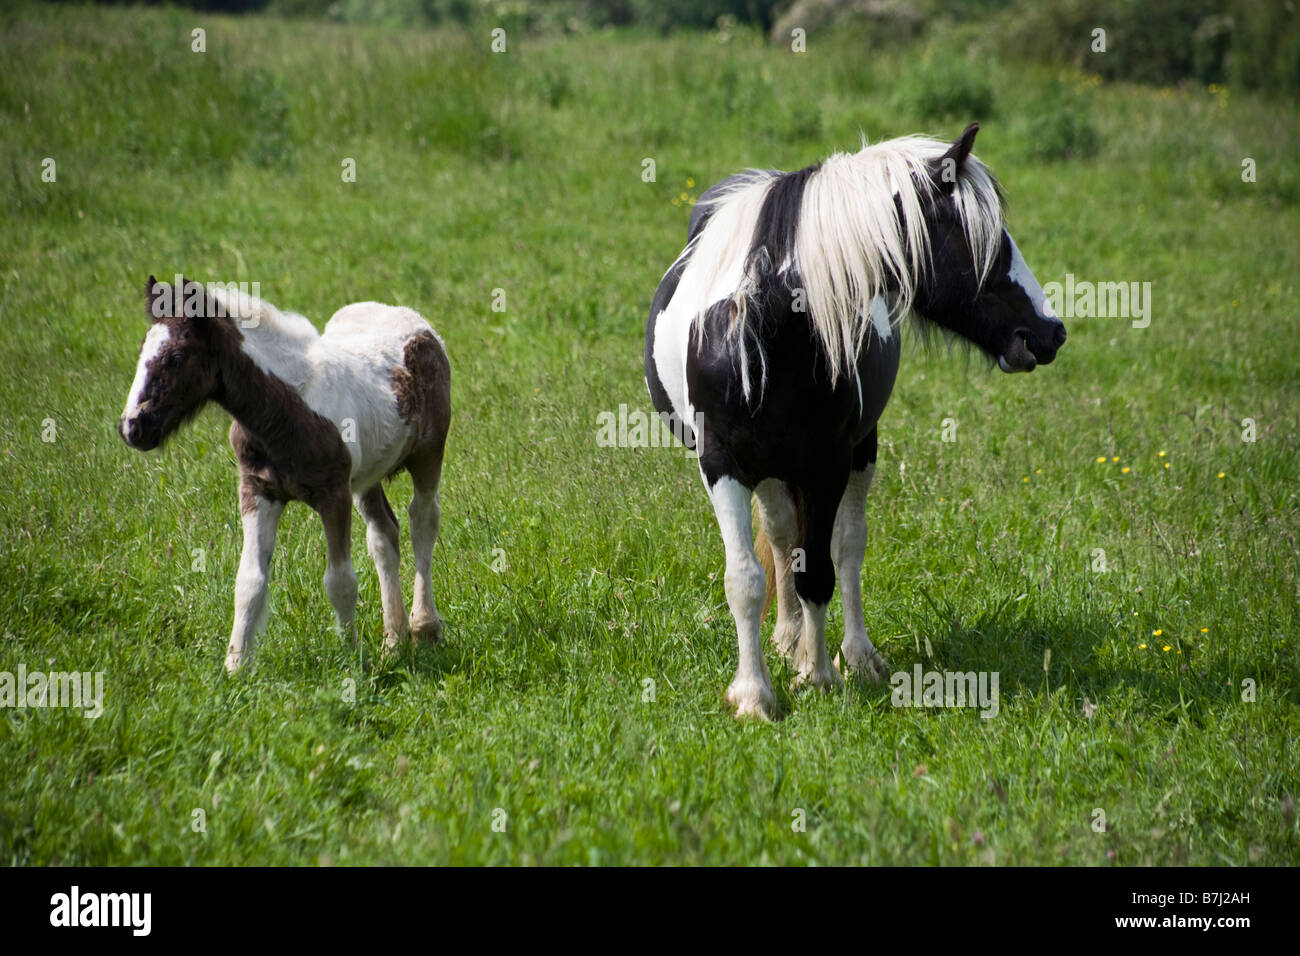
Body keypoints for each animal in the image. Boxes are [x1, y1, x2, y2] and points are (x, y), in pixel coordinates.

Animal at [118, 276, 451, 673]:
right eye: (141, 351)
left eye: (176, 358)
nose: (132, 427)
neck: (284, 408)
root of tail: (415, 321)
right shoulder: (258, 491)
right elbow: (249, 580)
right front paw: (235, 667)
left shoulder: (333, 494)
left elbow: (340, 580)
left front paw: (351, 659)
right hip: (367, 476)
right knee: (384, 534)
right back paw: (393, 643)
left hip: (428, 454)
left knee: (423, 521)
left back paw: (423, 628)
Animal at [644, 123, 1067, 719]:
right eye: (980, 238)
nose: (1049, 331)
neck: (768, 331)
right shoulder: (721, 465)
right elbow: (746, 579)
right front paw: (754, 694)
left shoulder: (828, 464)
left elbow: (820, 572)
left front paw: (819, 676)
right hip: (770, 470)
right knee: (781, 535)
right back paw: (786, 639)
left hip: (860, 451)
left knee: (846, 547)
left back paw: (854, 655)